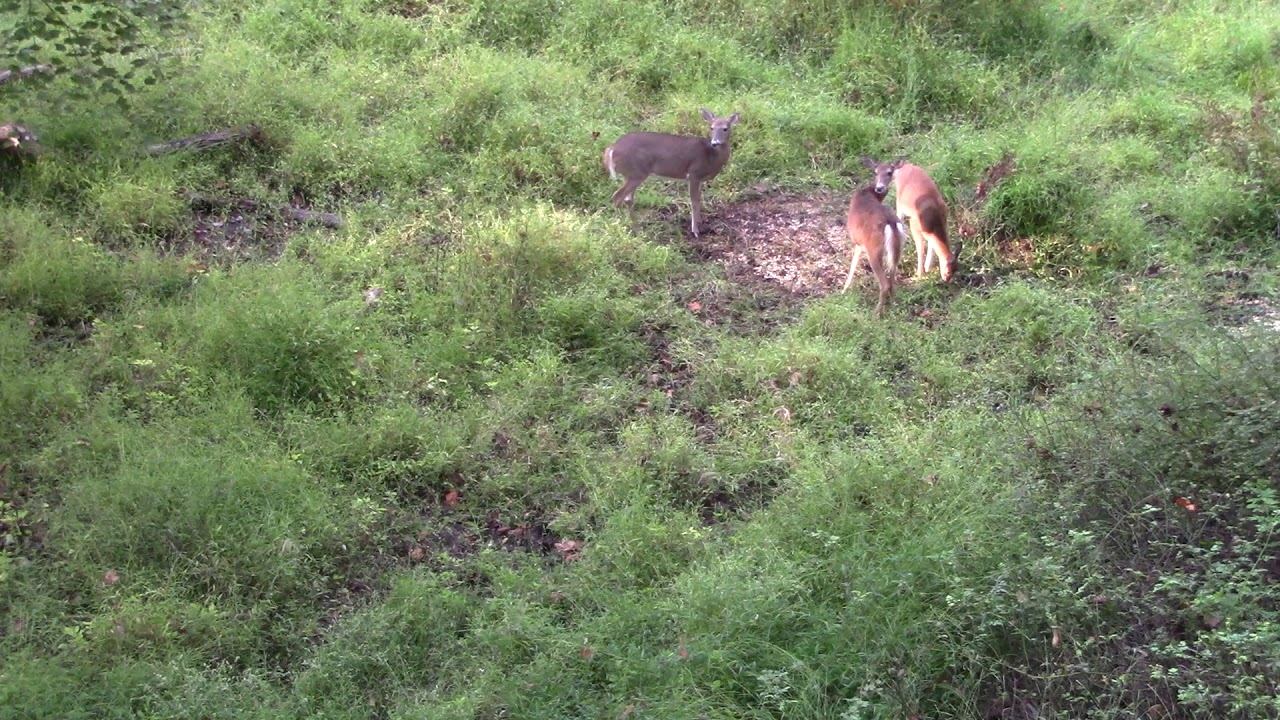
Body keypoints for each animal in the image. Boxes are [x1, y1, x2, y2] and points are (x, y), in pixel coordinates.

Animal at [602, 108, 740, 238]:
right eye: (711, 127)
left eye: (725, 128)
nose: (715, 142)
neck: (711, 156)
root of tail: (612, 149)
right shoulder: (694, 174)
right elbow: (694, 201)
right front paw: (695, 230)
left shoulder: (699, 179)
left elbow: (699, 198)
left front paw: (700, 222)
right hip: (636, 172)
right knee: (617, 196)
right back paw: (620, 226)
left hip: (631, 174)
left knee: (628, 199)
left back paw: (636, 228)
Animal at [842, 176, 907, 317]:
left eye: (889, 173)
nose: (880, 188)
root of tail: (890, 222)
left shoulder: (859, 242)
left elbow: (853, 264)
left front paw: (844, 289)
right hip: (897, 248)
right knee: (892, 279)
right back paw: (894, 306)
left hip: (873, 249)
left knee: (885, 283)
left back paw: (876, 313)